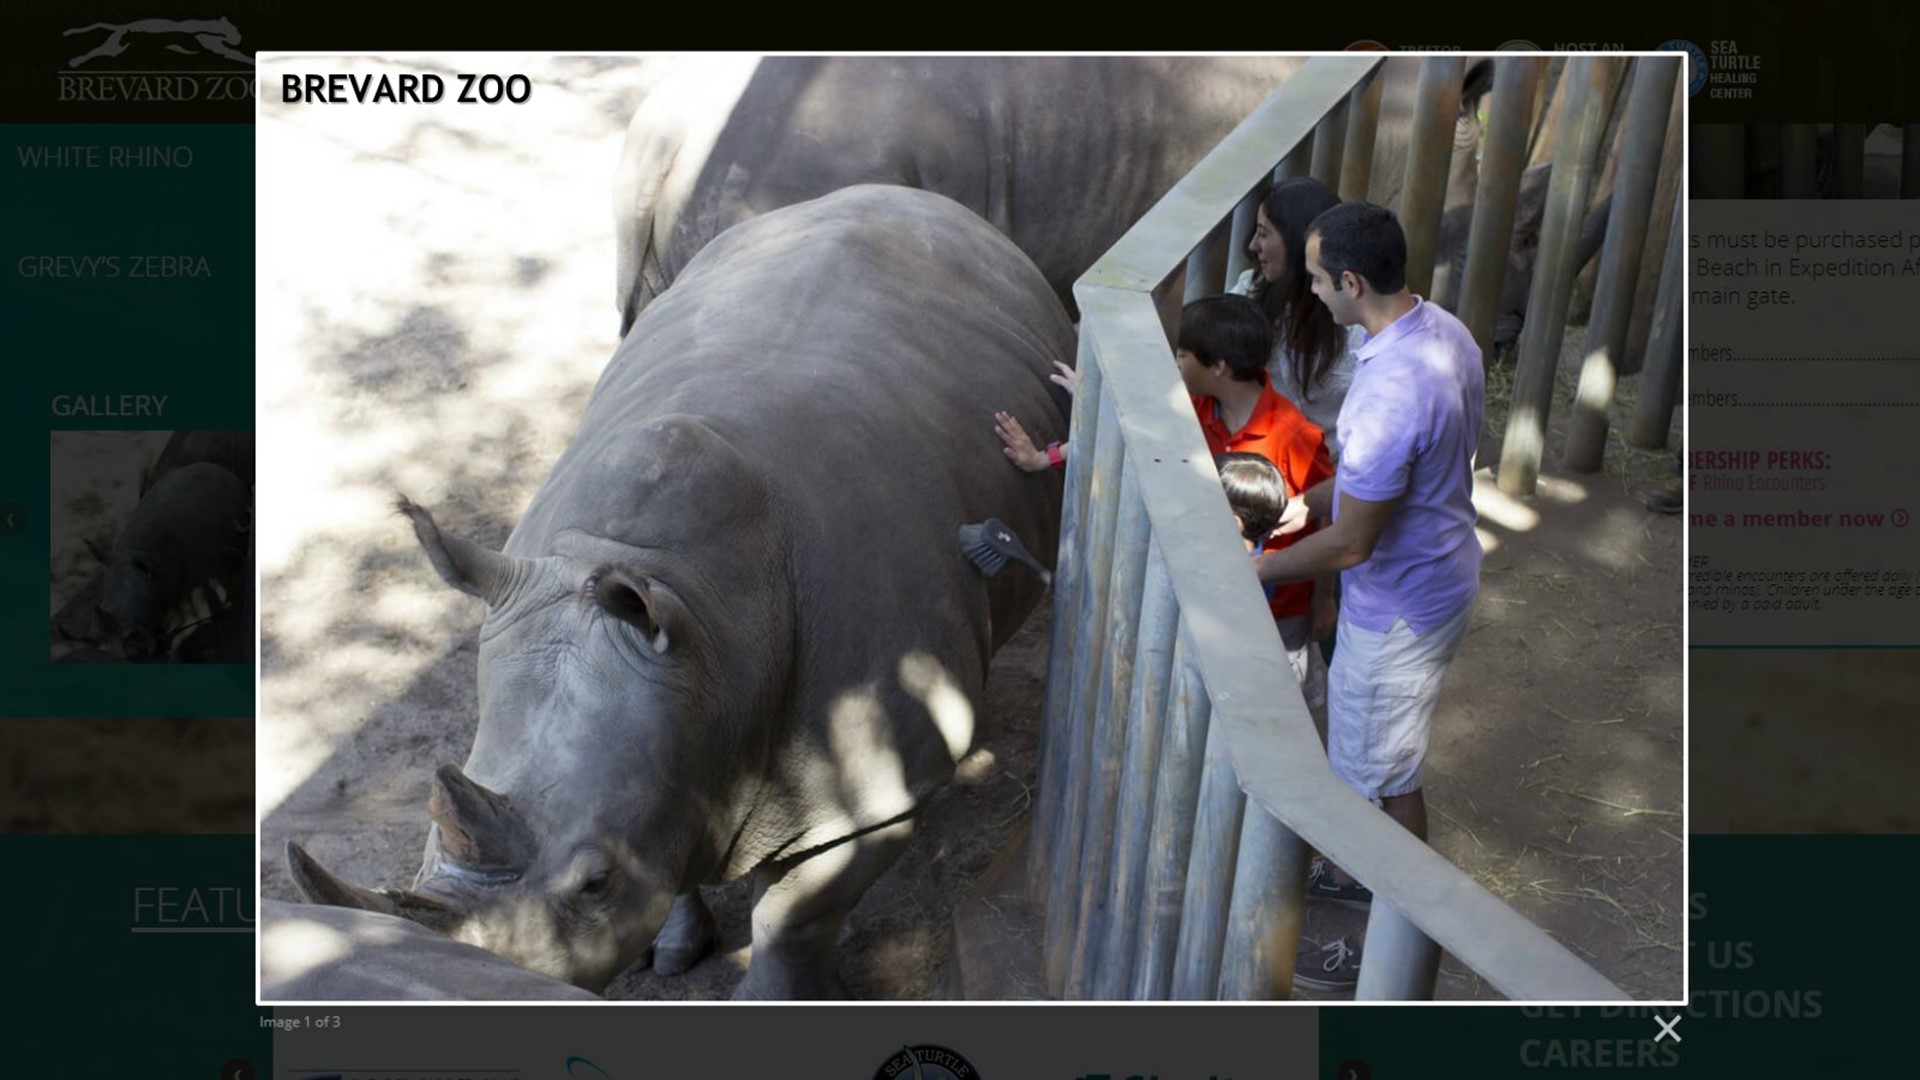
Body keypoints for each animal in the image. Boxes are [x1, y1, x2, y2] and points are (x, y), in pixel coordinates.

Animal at [288, 185, 1070, 999]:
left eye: (594, 884)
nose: (479, 977)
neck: (714, 627)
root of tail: (923, 200)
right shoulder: (671, 714)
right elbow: (672, 838)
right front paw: (672, 948)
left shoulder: (875, 794)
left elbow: (795, 915)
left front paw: (769, 997)